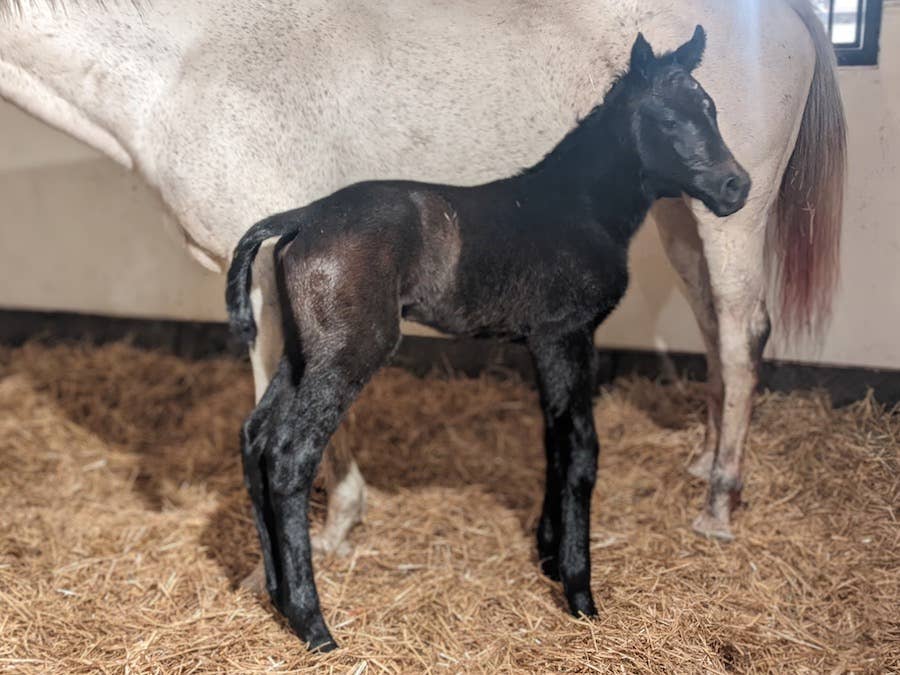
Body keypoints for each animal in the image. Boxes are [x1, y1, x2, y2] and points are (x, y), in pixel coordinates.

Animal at [0, 0, 844, 564]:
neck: (186, 65)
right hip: (684, 212)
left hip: (733, 216)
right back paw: (704, 461)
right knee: (712, 326)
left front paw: (329, 524)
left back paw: (719, 503)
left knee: (741, 333)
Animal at [225, 27, 750, 651]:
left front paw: (547, 555)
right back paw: (314, 624)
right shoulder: (565, 336)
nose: (736, 185)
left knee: (256, 436)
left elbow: (553, 438)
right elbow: (581, 451)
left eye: (712, 110)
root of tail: (301, 217)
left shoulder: (549, 344)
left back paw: (277, 597)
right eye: (667, 119)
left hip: (304, 351)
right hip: (347, 353)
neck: (579, 206)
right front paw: (579, 594)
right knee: (289, 454)